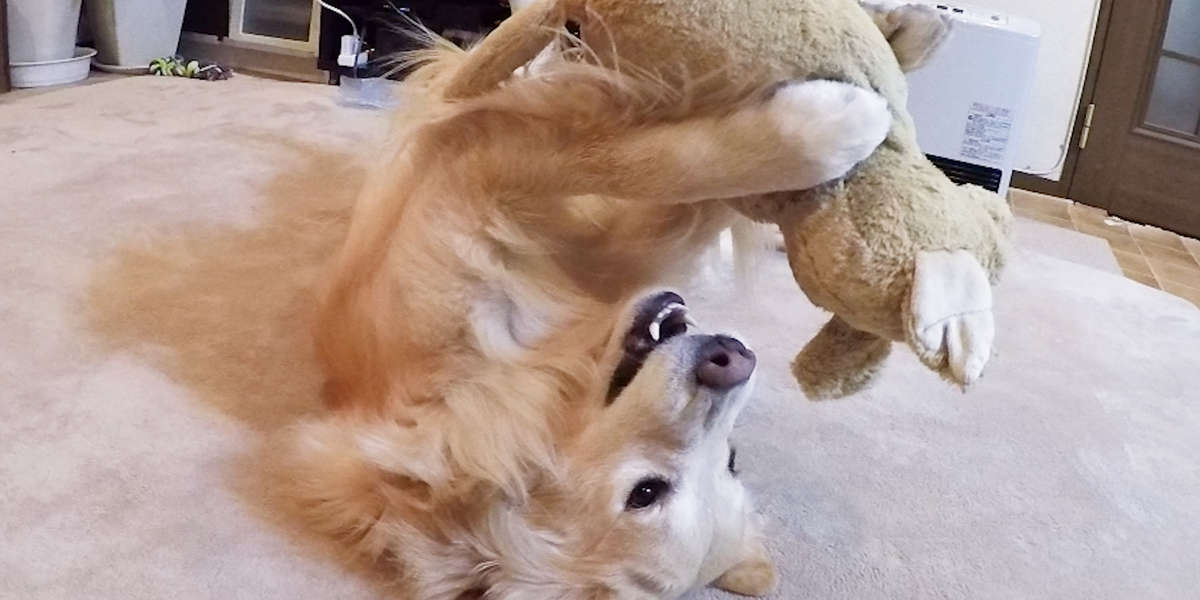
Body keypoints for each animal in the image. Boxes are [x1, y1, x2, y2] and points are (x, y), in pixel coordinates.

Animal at [276, 12, 902, 595]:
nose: (734, 359)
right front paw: (835, 123)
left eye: (732, 459)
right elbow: (645, 161)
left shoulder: (618, 243)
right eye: (646, 492)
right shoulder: (478, 175)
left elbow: (678, 190)